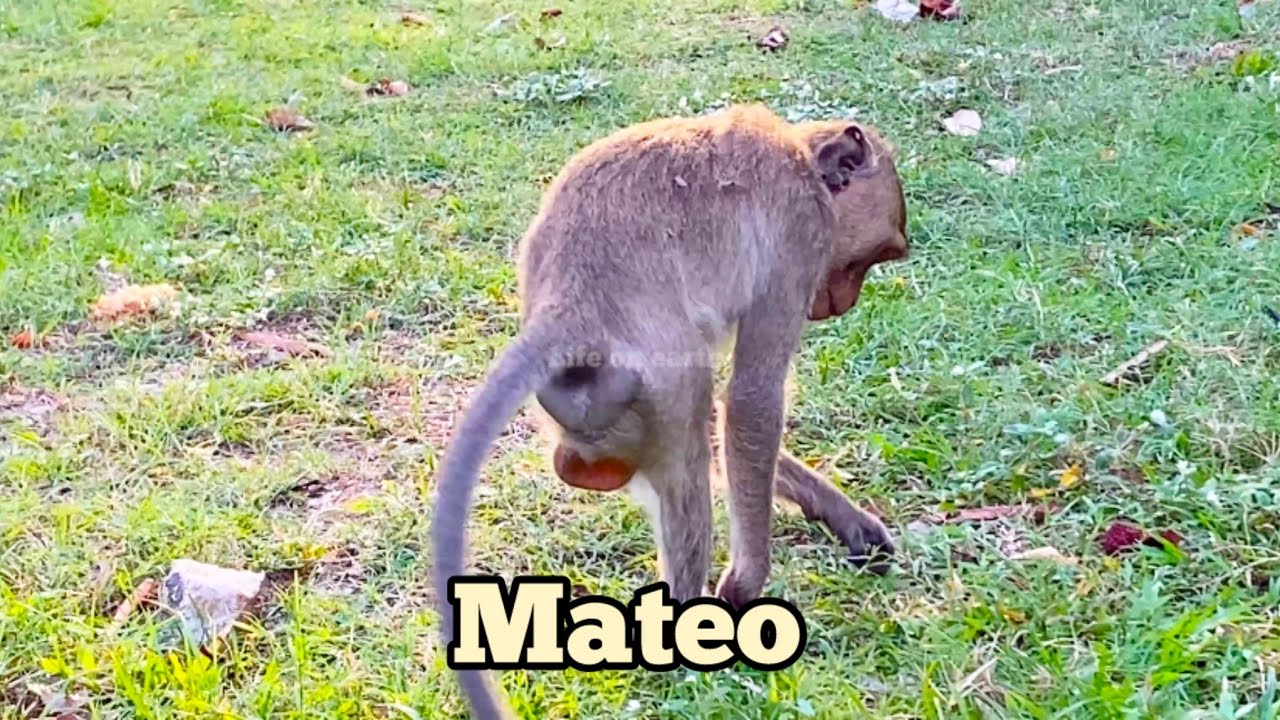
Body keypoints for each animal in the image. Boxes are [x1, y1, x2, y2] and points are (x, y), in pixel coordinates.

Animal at [431, 104, 909, 720]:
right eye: (868, 258)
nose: (841, 302)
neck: (800, 159)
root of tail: (568, 308)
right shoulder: (800, 240)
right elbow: (750, 403)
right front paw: (745, 585)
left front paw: (845, 519)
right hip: (656, 377)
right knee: (693, 431)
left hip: (600, 418)